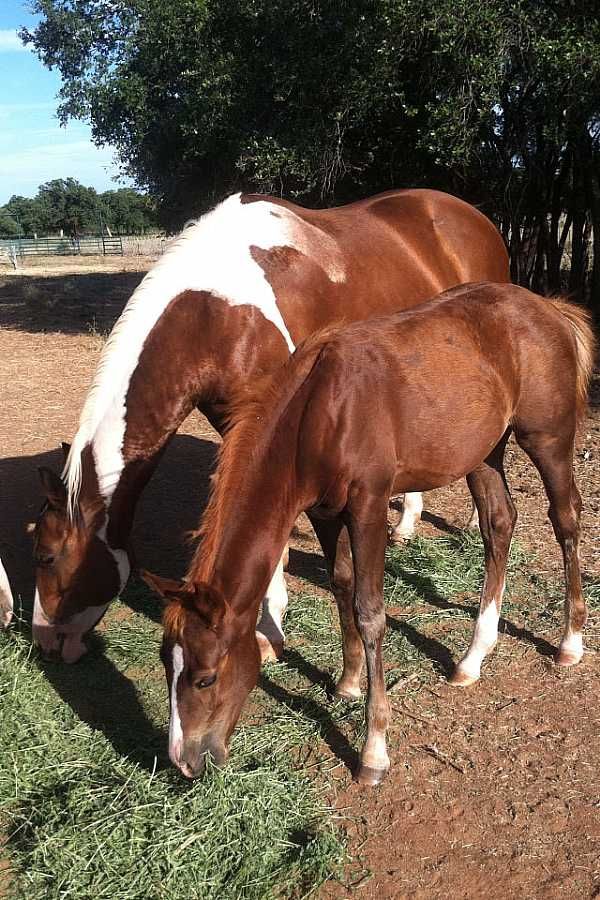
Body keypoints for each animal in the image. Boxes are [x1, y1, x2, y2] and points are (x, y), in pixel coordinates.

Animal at [31, 188, 509, 664]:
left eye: (47, 557)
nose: (44, 641)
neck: (215, 312)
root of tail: (472, 216)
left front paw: (269, 630)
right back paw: (407, 523)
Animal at [142, 282, 594, 786]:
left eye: (205, 677)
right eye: (165, 664)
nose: (184, 761)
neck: (319, 415)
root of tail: (549, 307)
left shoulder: (370, 507)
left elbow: (370, 610)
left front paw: (373, 750)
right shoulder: (324, 513)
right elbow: (341, 584)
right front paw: (347, 682)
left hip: (547, 438)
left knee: (566, 519)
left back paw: (570, 643)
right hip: (484, 452)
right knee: (499, 524)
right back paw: (473, 657)